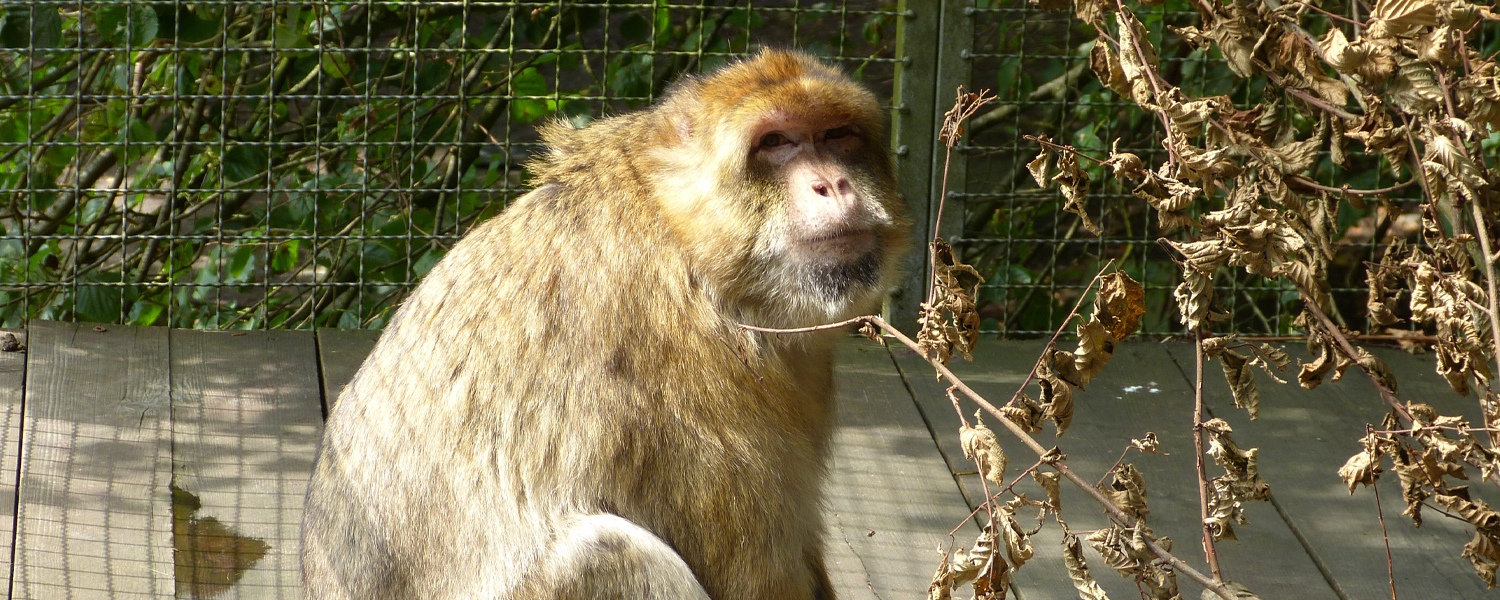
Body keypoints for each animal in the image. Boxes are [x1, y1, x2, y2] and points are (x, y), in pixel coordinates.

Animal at [300, 49, 911, 600]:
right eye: (776, 142)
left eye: (837, 135)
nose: (832, 184)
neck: (686, 243)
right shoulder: (698, 371)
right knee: (609, 554)